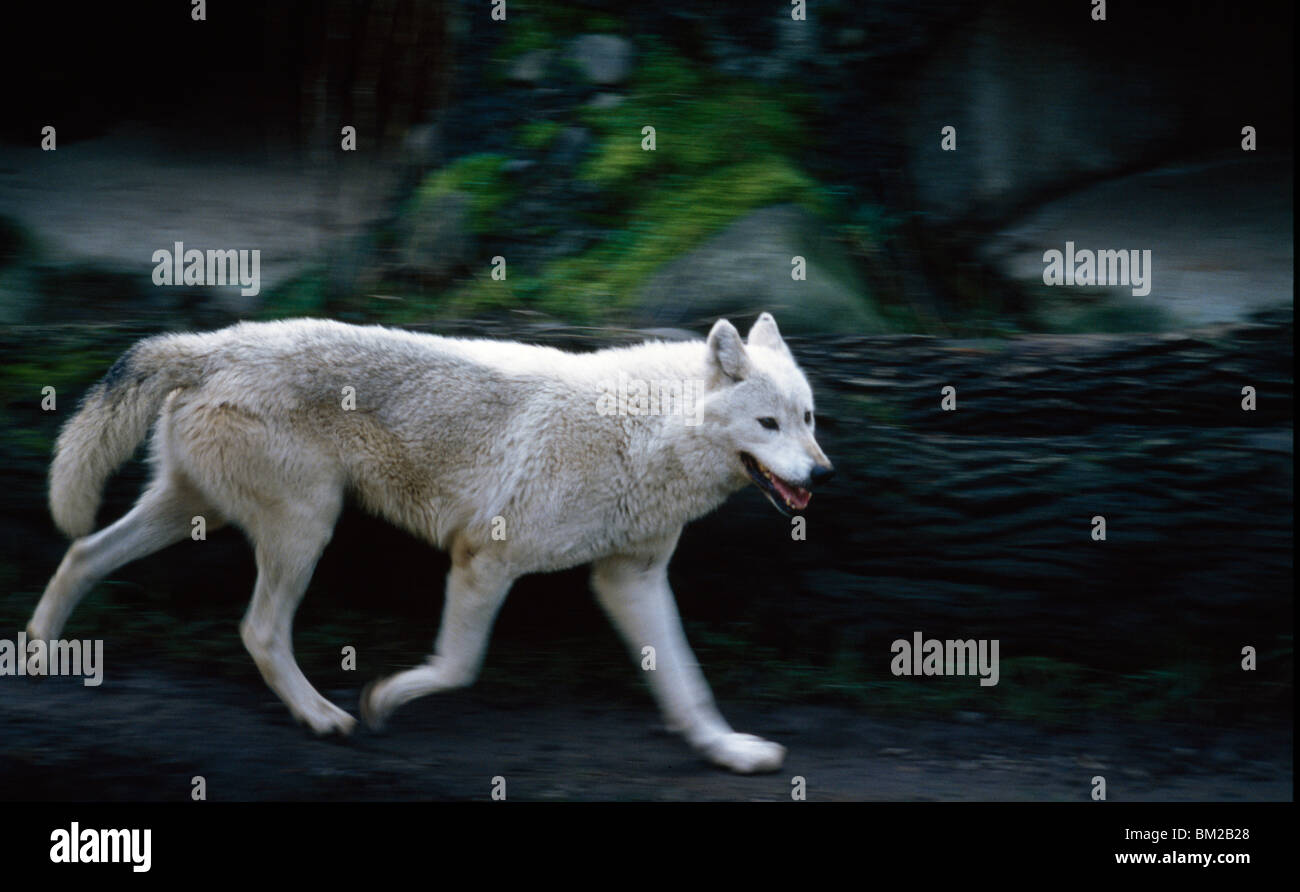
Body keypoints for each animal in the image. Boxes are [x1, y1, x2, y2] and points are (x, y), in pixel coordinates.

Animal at [28, 313, 833, 774]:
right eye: (768, 424)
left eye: (809, 418)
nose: (822, 475)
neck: (642, 431)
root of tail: (210, 345)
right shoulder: (484, 559)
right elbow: (457, 667)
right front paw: (384, 698)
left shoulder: (629, 579)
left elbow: (690, 687)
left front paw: (730, 752)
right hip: (306, 525)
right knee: (257, 630)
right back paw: (323, 716)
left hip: (195, 512)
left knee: (79, 554)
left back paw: (39, 654)